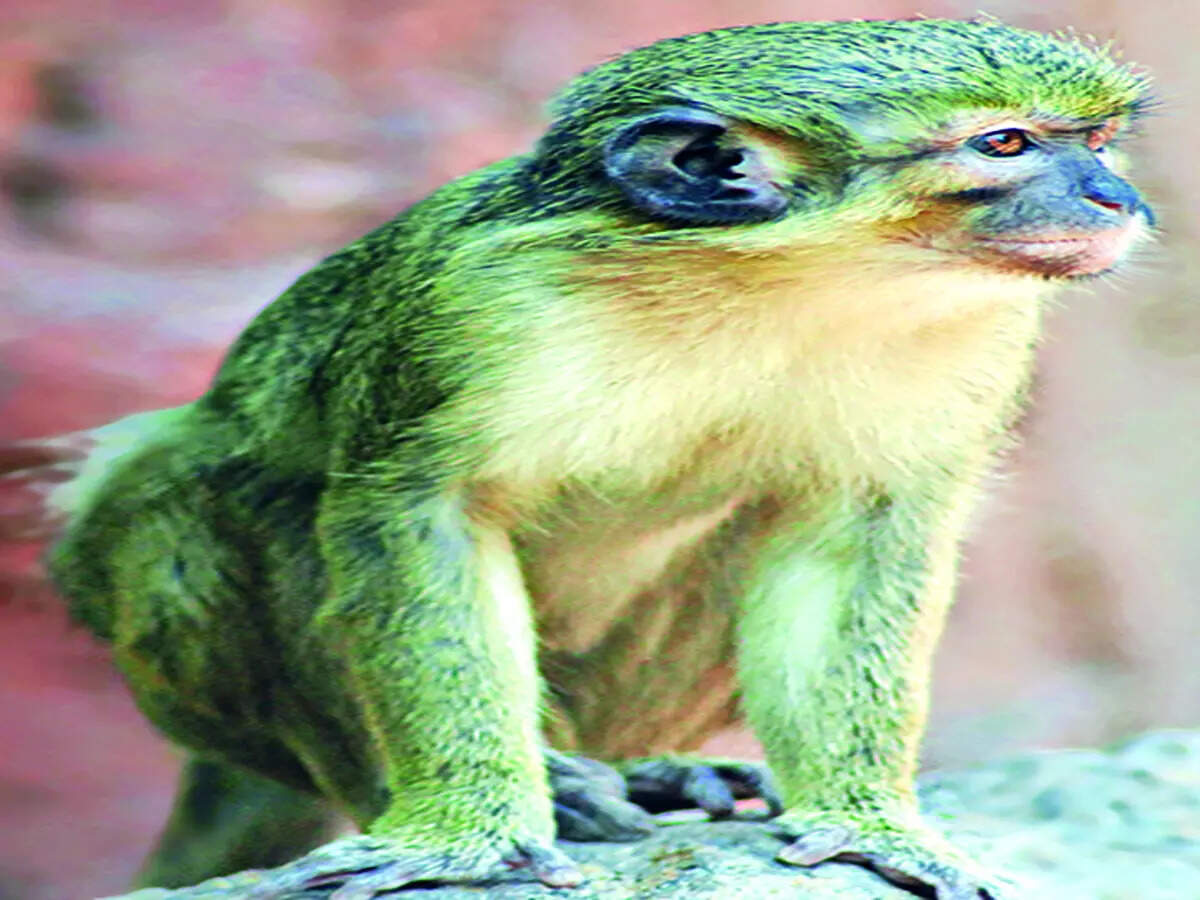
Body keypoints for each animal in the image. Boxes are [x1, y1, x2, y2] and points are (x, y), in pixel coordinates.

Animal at [10, 18, 1154, 900]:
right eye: (1006, 142)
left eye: (1097, 142)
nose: (1118, 200)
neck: (773, 283)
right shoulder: (469, 309)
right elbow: (416, 508)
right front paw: (464, 830)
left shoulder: (972, 347)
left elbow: (851, 540)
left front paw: (869, 820)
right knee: (207, 509)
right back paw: (529, 785)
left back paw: (638, 773)